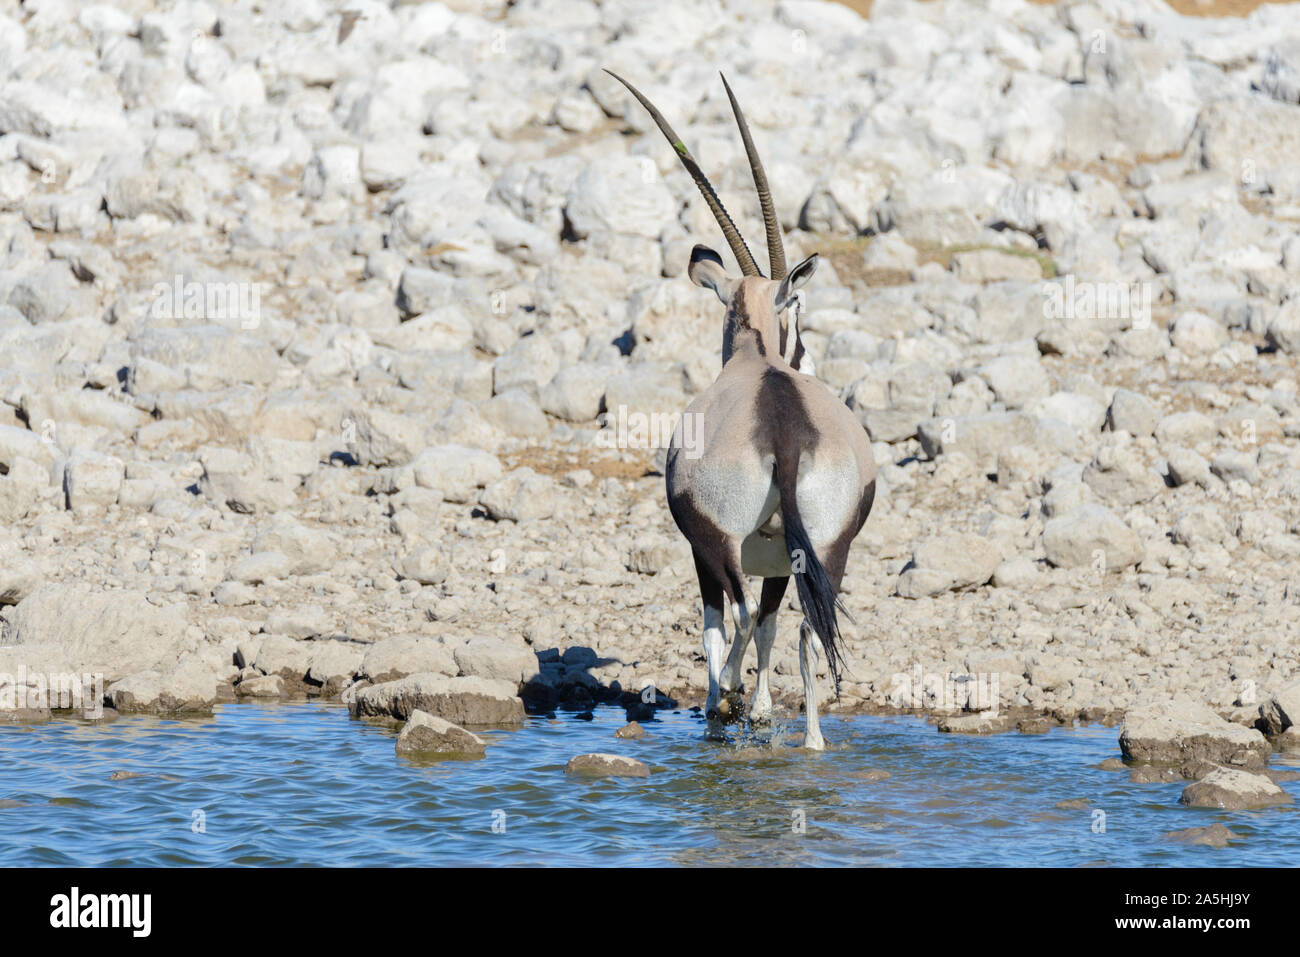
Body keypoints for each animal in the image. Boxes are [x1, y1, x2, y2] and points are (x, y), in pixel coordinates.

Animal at [607, 71, 877, 750]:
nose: (804, 357)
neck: (758, 365)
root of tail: (783, 426)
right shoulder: (784, 560)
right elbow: (776, 624)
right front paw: (758, 712)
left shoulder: (701, 549)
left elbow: (719, 624)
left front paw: (723, 703)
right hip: (826, 547)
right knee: (807, 628)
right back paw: (809, 741)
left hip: (724, 543)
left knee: (737, 612)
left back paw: (727, 696)